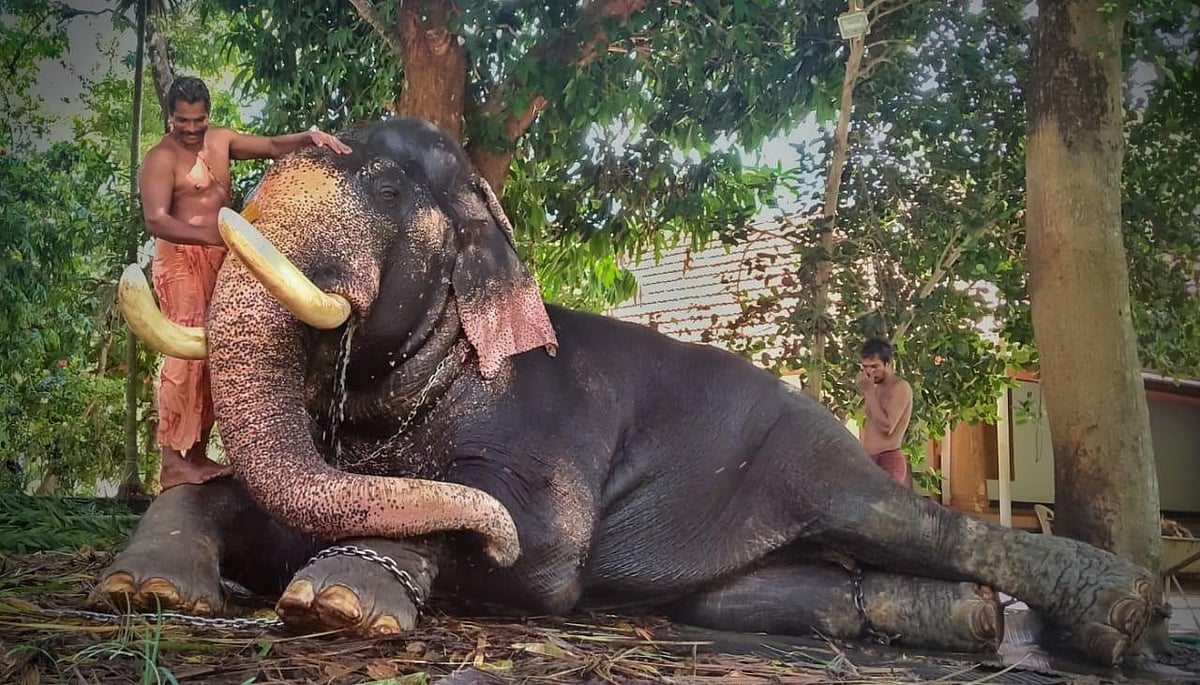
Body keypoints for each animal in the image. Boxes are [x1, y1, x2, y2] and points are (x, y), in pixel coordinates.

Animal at [92, 118, 1155, 667]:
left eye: (390, 190)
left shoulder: (555, 427)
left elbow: (535, 539)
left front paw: (340, 602)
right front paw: (144, 587)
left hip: (823, 458)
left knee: (907, 520)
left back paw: (1120, 612)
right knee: (775, 592)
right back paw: (969, 621)